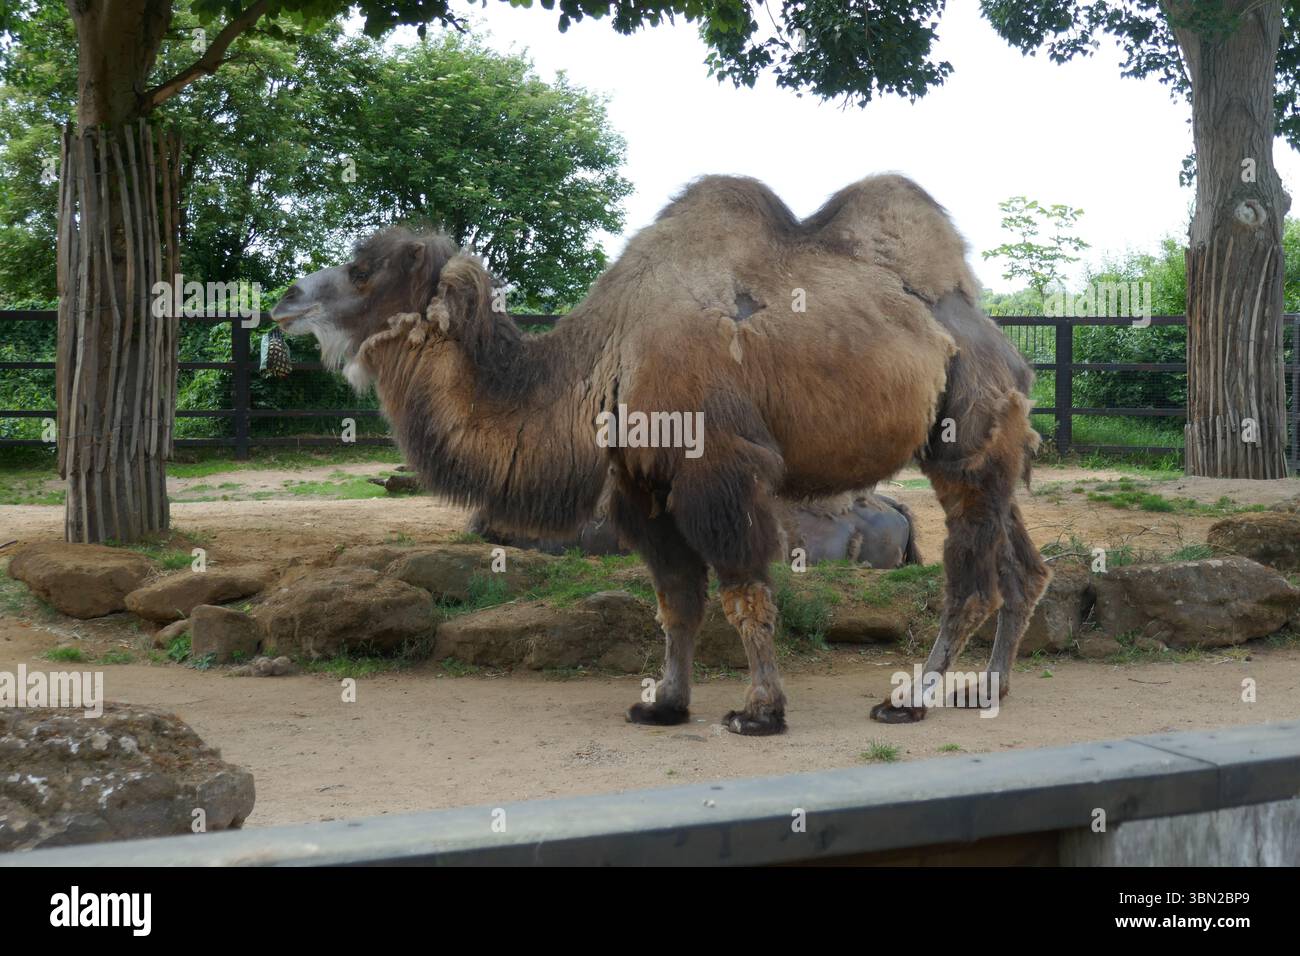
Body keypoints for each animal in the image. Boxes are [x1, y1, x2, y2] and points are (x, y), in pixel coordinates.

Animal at [270, 173, 1050, 734]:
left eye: (362, 271)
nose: (283, 297)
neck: (601, 360)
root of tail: (1002, 346)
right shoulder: (641, 488)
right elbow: (676, 601)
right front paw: (664, 704)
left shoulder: (718, 469)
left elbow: (743, 593)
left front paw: (760, 712)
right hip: (988, 448)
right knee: (1024, 566)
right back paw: (990, 685)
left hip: (965, 436)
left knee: (971, 578)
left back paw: (911, 698)